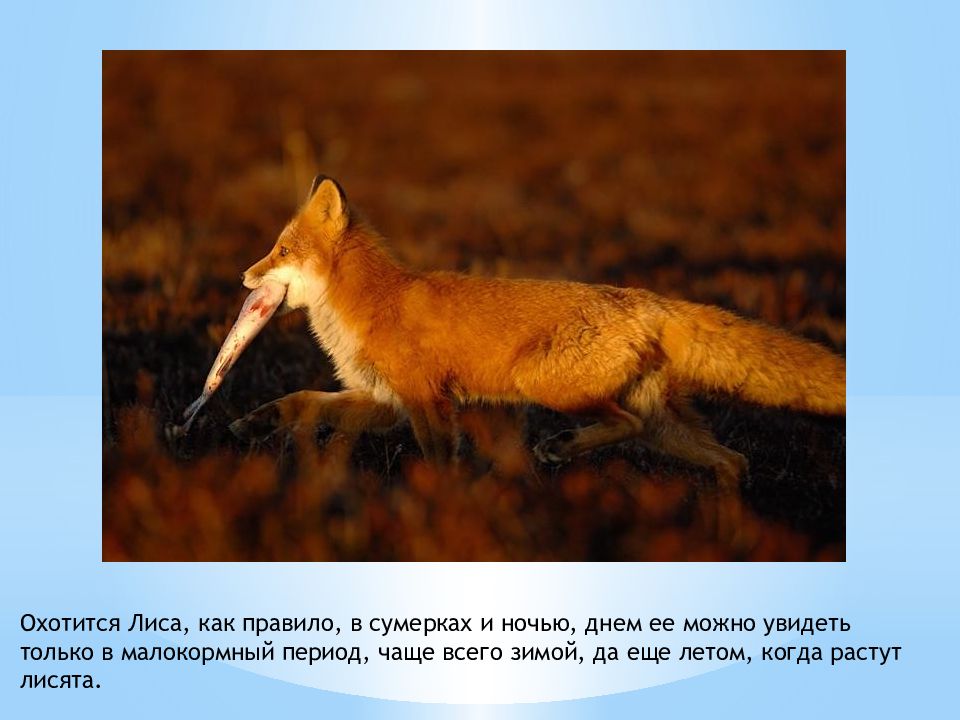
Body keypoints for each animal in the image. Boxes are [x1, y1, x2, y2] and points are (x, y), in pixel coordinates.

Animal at [228, 174, 845, 487]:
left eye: (281, 251)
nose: (244, 277)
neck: (371, 303)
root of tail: (644, 300)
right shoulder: (384, 400)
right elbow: (300, 401)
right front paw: (251, 423)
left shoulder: (426, 401)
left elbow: (438, 458)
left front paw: (441, 504)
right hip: (664, 429)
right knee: (732, 460)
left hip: (546, 384)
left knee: (619, 425)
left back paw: (560, 448)